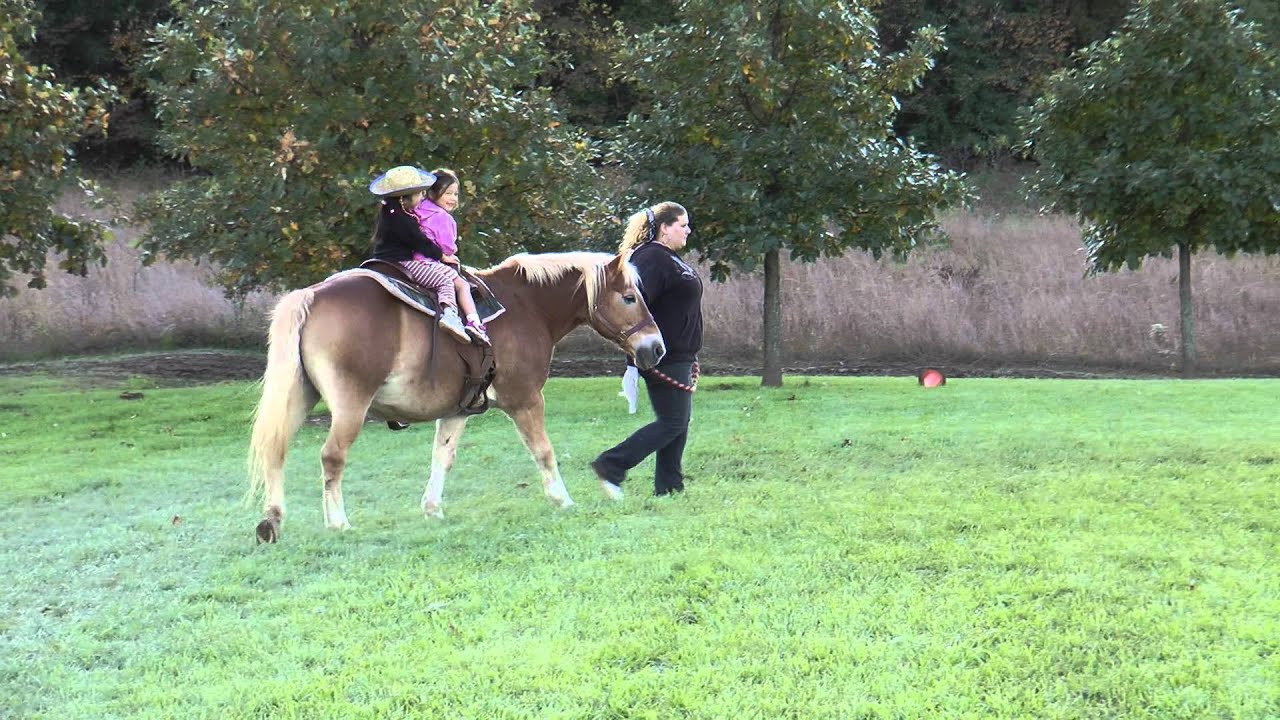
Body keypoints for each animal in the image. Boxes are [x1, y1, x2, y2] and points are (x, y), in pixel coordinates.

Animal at [247, 250, 665, 542]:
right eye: (629, 297)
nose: (656, 348)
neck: (525, 305)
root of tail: (311, 295)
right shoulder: (525, 399)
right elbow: (544, 452)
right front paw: (563, 500)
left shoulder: (458, 410)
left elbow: (441, 458)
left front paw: (432, 509)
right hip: (351, 406)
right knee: (332, 457)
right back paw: (337, 522)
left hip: (299, 398)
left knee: (276, 450)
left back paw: (272, 520)